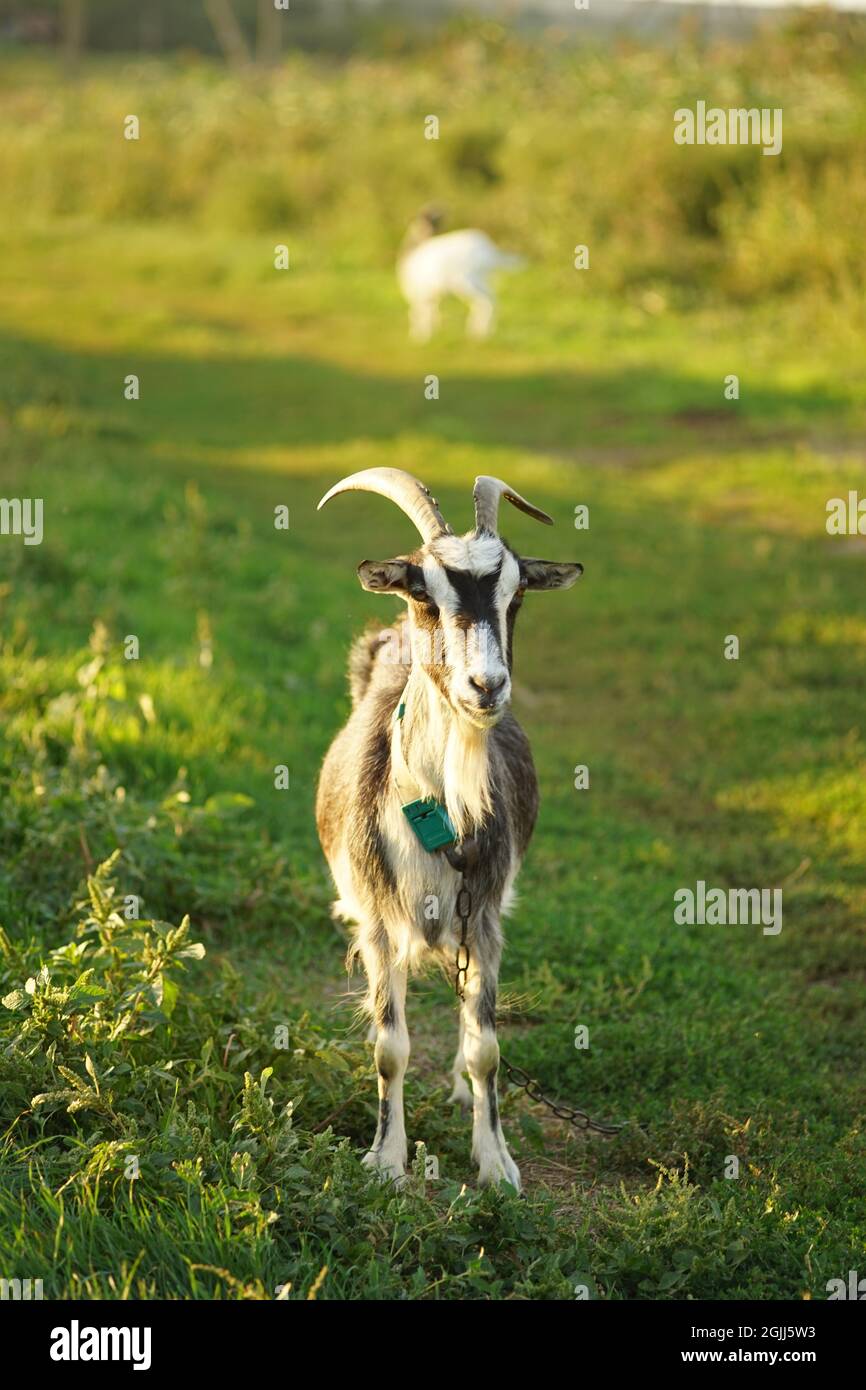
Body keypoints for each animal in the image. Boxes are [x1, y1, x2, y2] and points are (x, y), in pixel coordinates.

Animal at [316, 468, 582, 1189]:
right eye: (422, 590)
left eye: (517, 592)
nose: (485, 686)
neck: (439, 810)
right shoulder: (378, 921)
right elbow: (391, 1046)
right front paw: (386, 1161)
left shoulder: (483, 915)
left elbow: (487, 1046)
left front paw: (496, 1162)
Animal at [397, 208, 524, 342]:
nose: (429, 232)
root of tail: (490, 251)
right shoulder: (429, 297)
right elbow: (432, 315)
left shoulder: (421, 295)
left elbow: (419, 316)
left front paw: (420, 338)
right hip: (480, 280)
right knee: (492, 299)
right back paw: (487, 331)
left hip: (467, 280)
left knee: (483, 302)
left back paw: (477, 334)